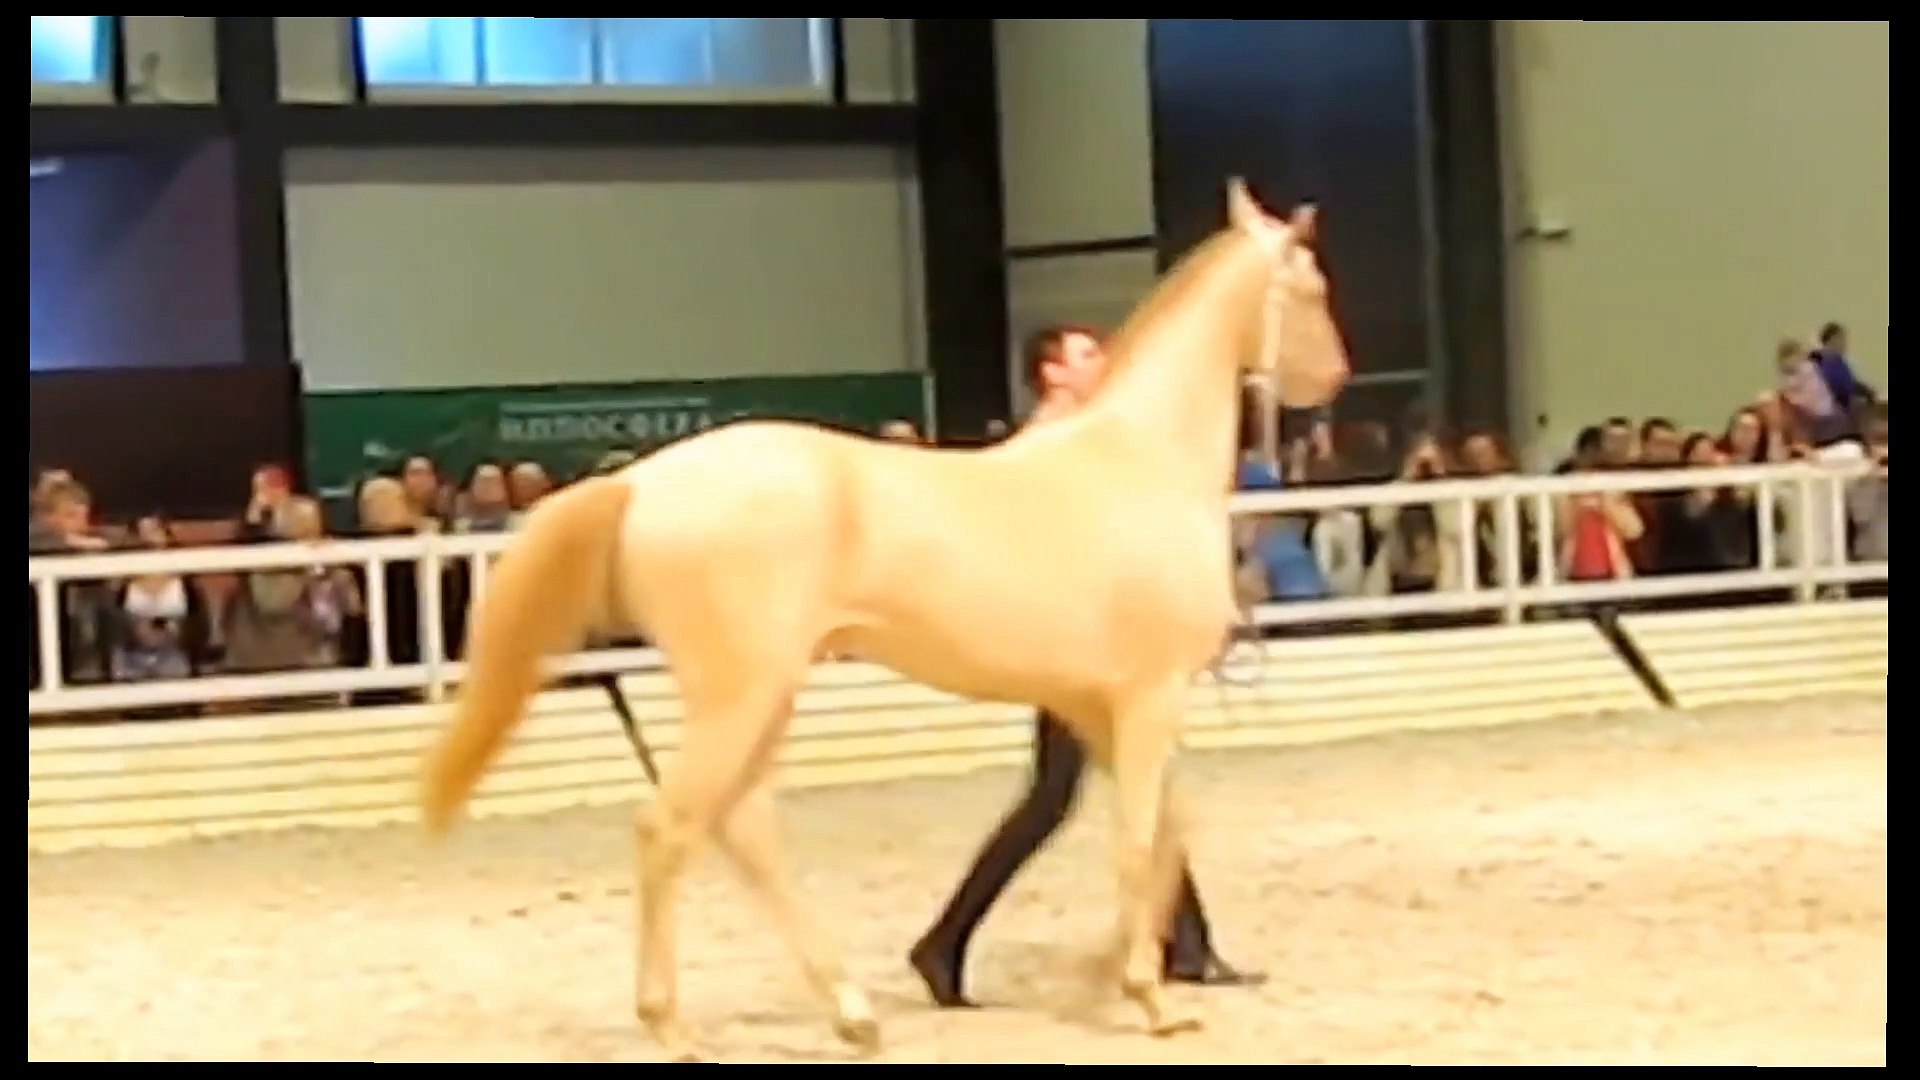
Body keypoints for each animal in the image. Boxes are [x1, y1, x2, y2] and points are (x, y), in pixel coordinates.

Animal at [417, 178, 1350, 1060]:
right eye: (1312, 284)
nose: (1336, 378)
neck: (1139, 459)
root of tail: (640, 481)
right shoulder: (1150, 696)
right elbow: (1141, 837)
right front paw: (1151, 998)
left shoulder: (1099, 706)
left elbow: (1163, 835)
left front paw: (1146, 971)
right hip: (741, 696)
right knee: (669, 829)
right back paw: (675, 1028)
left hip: (763, 699)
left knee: (745, 830)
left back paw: (854, 1013)